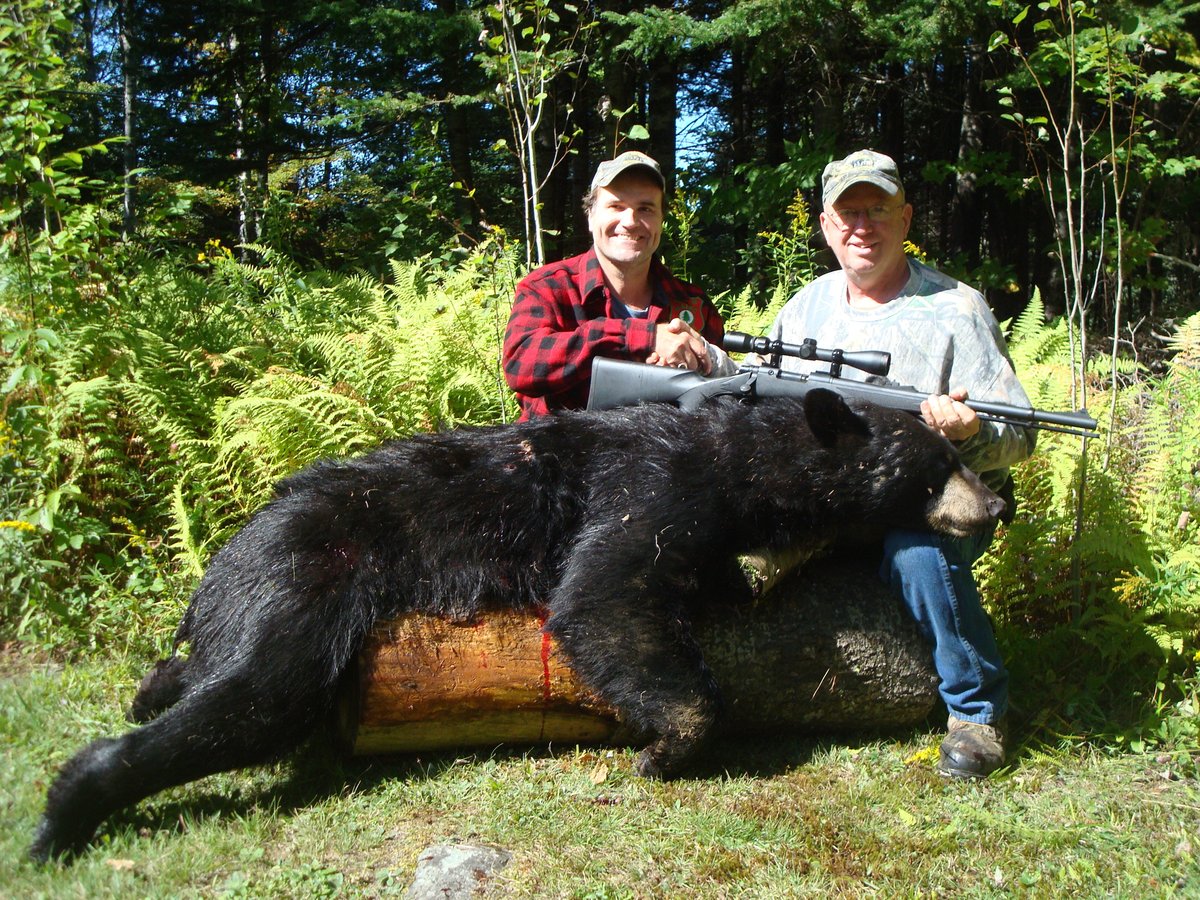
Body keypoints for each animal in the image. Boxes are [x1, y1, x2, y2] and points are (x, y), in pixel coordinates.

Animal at [29, 389, 1005, 861]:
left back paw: (149, 688)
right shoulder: (651, 490)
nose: (997, 503)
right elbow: (601, 595)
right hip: (305, 573)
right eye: (938, 464)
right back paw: (68, 807)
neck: (740, 464)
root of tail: (225, 556)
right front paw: (664, 746)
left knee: (205, 671)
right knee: (257, 690)